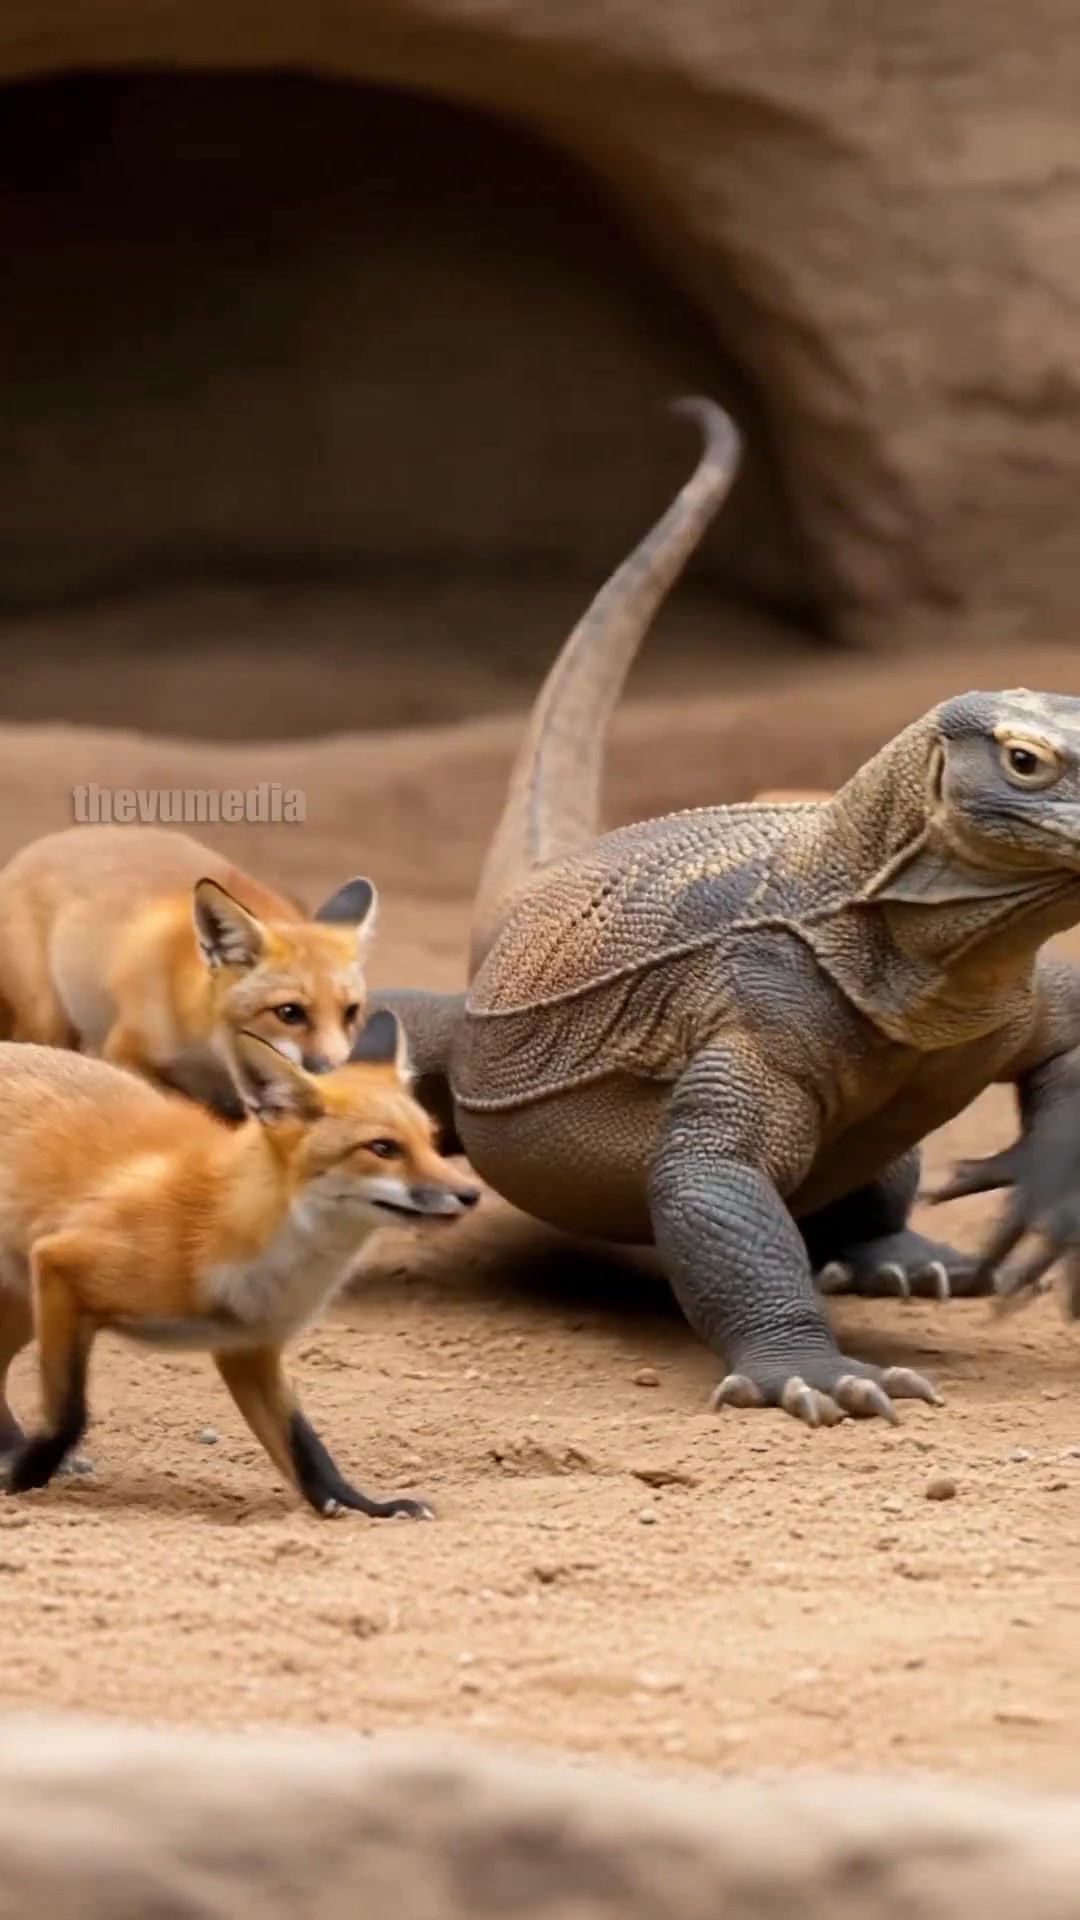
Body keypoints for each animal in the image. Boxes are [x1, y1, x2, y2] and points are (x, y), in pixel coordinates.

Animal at [0, 825, 378, 1116]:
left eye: (350, 1013)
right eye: (289, 1013)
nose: (339, 1076)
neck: (209, 1053)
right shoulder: (124, 1051)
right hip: (47, 1024)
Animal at [0, 1009, 479, 1518]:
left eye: (431, 1142)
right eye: (383, 1148)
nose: (471, 1194)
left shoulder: (250, 1347)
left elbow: (305, 1448)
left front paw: (364, 1507)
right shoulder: (62, 1265)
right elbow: (69, 1411)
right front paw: (27, 1476)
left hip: (25, 1308)